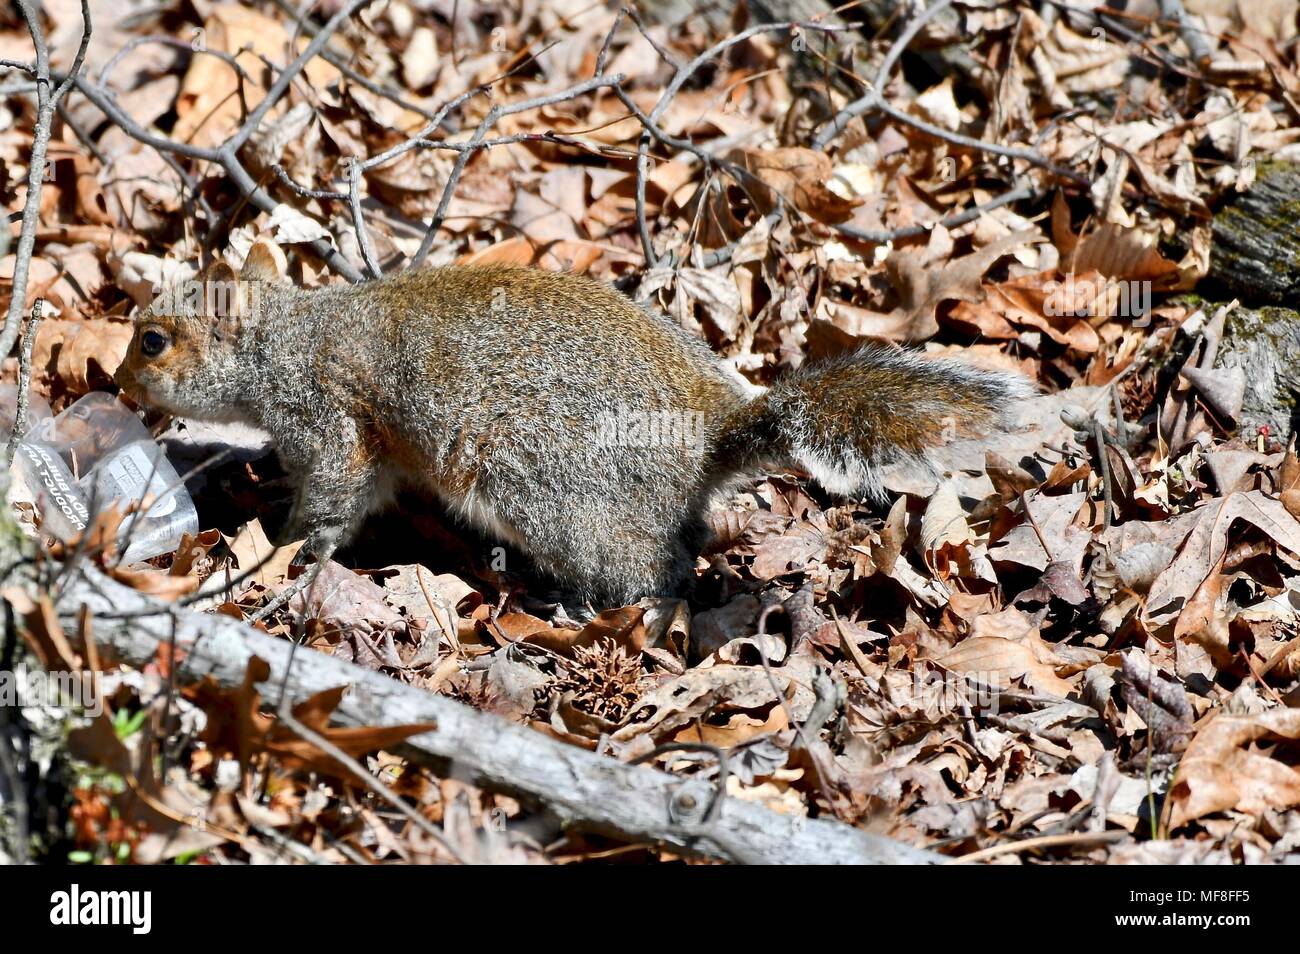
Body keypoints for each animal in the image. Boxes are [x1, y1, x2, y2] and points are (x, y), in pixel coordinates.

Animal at [115, 240, 1034, 610]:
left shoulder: (328, 418)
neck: (284, 337)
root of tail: (705, 434)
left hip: (543, 486)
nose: (117, 383)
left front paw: (279, 549)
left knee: (654, 570)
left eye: (153, 340)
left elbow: (332, 500)